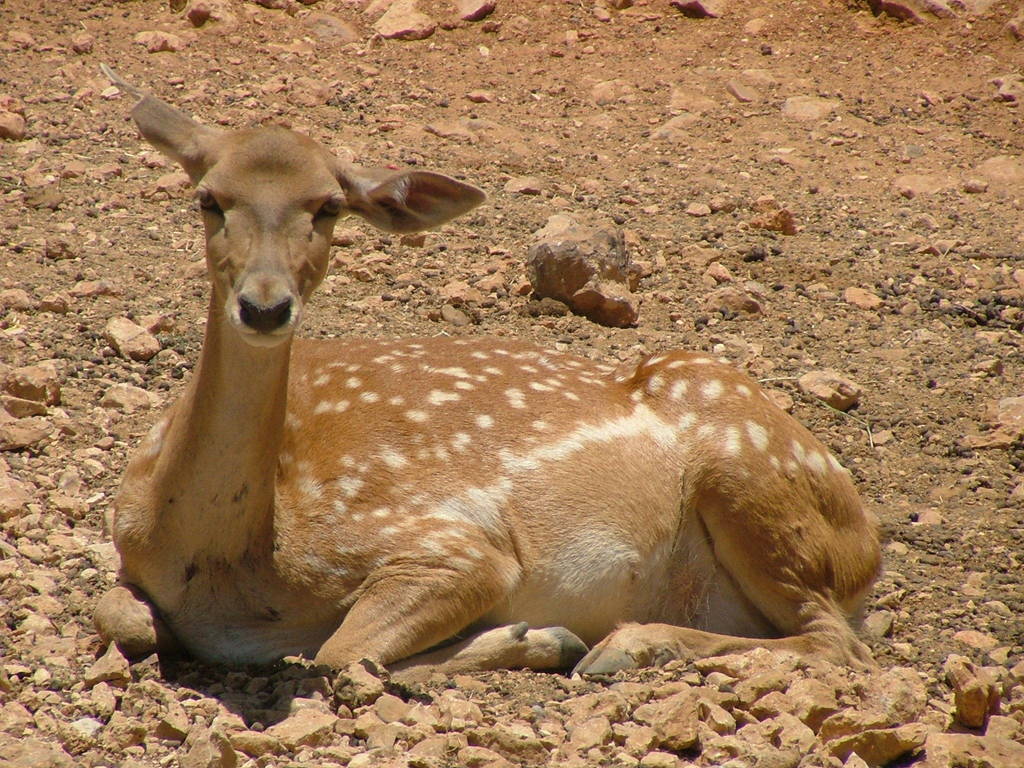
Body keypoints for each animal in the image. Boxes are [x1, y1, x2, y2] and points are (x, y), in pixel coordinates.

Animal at [93, 64, 881, 684]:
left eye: (329, 206)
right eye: (208, 198)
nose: (264, 305)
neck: (228, 560)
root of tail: (867, 548)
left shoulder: (448, 545)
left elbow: (339, 651)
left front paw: (537, 637)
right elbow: (118, 616)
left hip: (751, 478)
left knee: (835, 643)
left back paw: (623, 647)